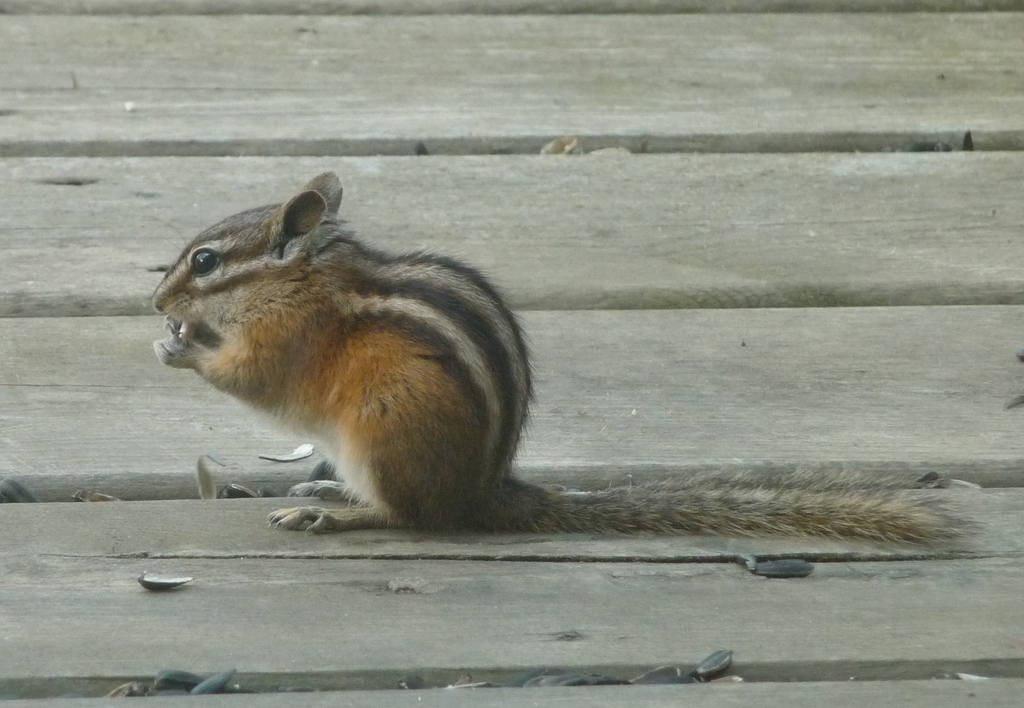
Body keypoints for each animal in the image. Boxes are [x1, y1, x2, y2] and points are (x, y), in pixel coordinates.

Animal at [153, 172, 965, 543]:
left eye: (205, 260)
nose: (157, 300)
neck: (303, 280)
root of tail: (482, 494)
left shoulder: (290, 338)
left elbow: (254, 378)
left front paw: (181, 347)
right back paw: (327, 490)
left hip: (384, 430)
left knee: (411, 516)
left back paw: (335, 513)